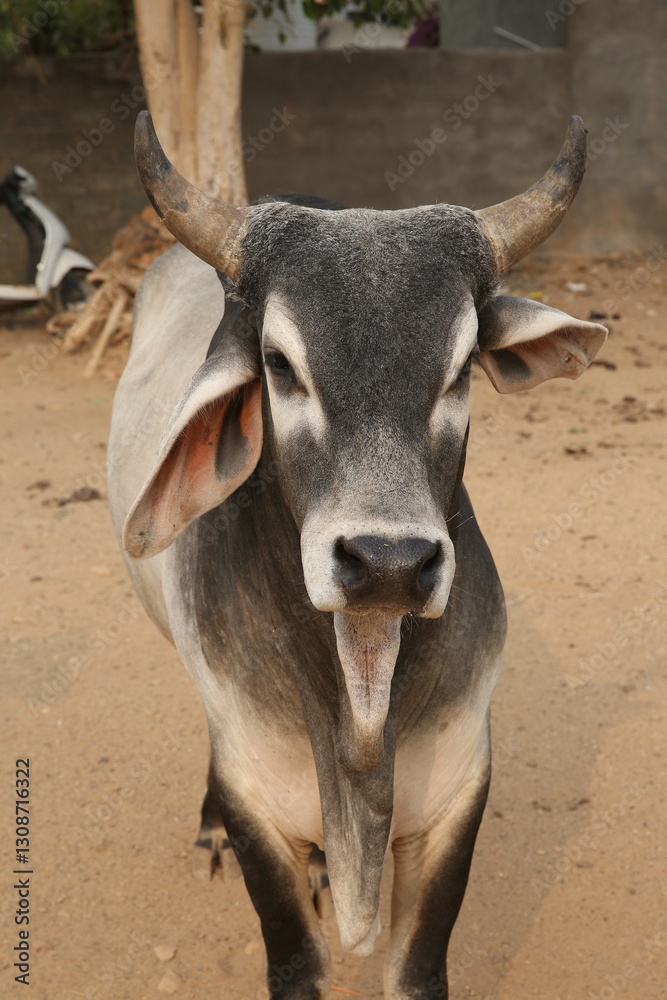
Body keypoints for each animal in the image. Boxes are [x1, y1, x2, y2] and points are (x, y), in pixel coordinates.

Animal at [107, 110, 607, 999]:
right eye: (278, 365)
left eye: (461, 367)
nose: (388, 564)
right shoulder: (259, 811)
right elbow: (294, 959)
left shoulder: (457, 799)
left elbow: (416, 970)